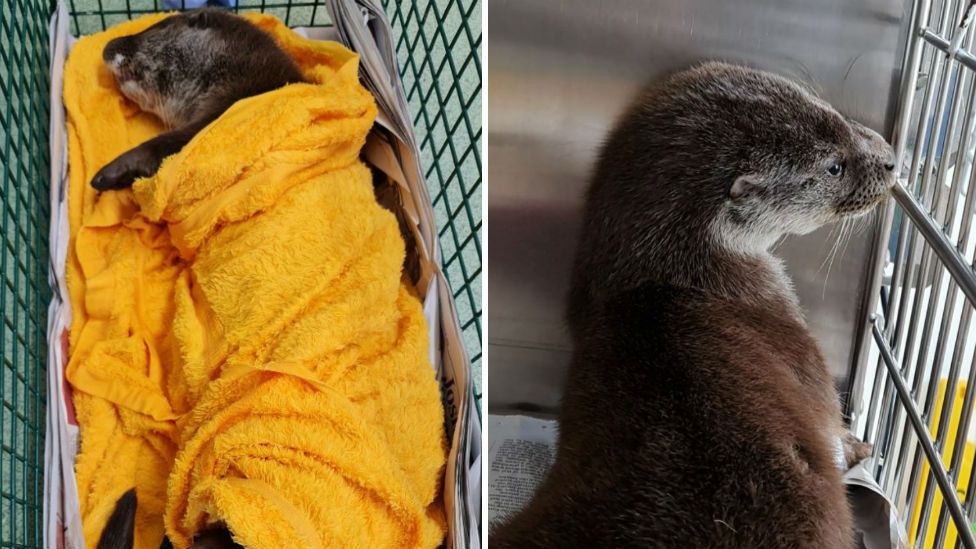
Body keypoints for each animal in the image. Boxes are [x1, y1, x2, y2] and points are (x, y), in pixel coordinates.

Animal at [489, 62, 894, 549]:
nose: (893, 159)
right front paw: (864, 447)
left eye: (836, 114)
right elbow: (835, 436)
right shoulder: (810, 366)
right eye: (834, 166)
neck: (671, 281)